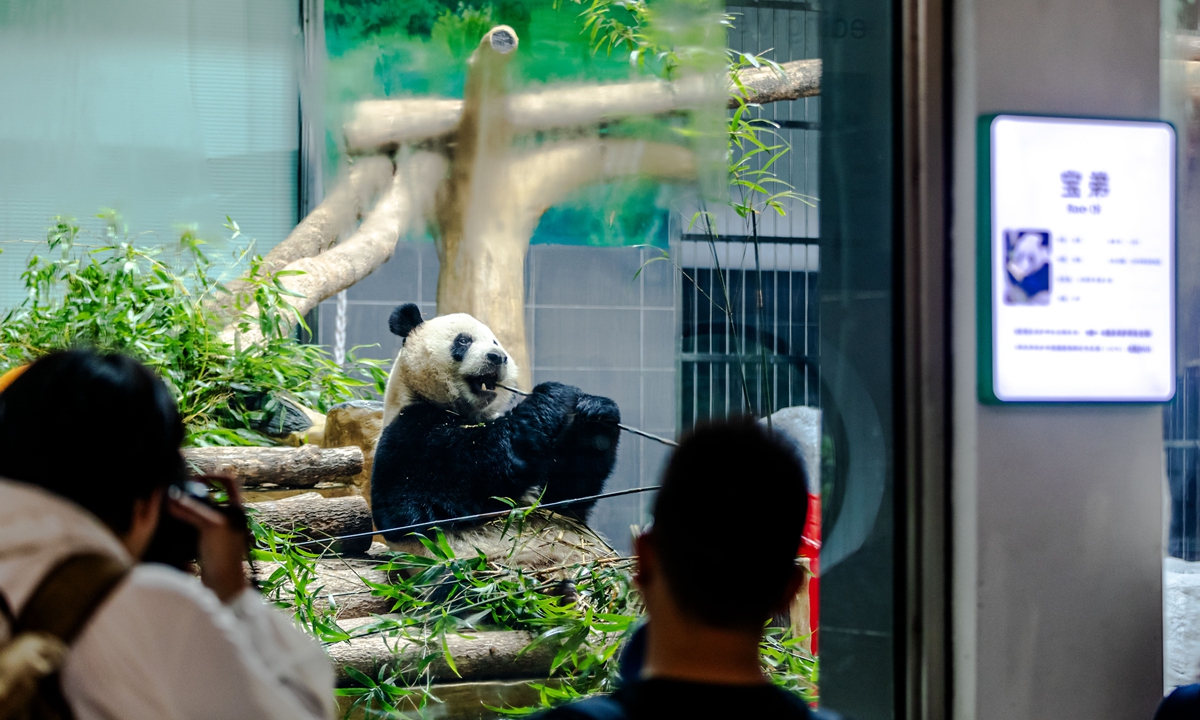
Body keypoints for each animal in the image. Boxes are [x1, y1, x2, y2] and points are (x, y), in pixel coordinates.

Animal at [371, 303, 622, 574]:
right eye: (463, 340)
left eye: (495, 341)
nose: (497, 357)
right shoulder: (408, 434)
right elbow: (472, 470)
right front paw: (553, 394)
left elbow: (563, 496)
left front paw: (596, 411)